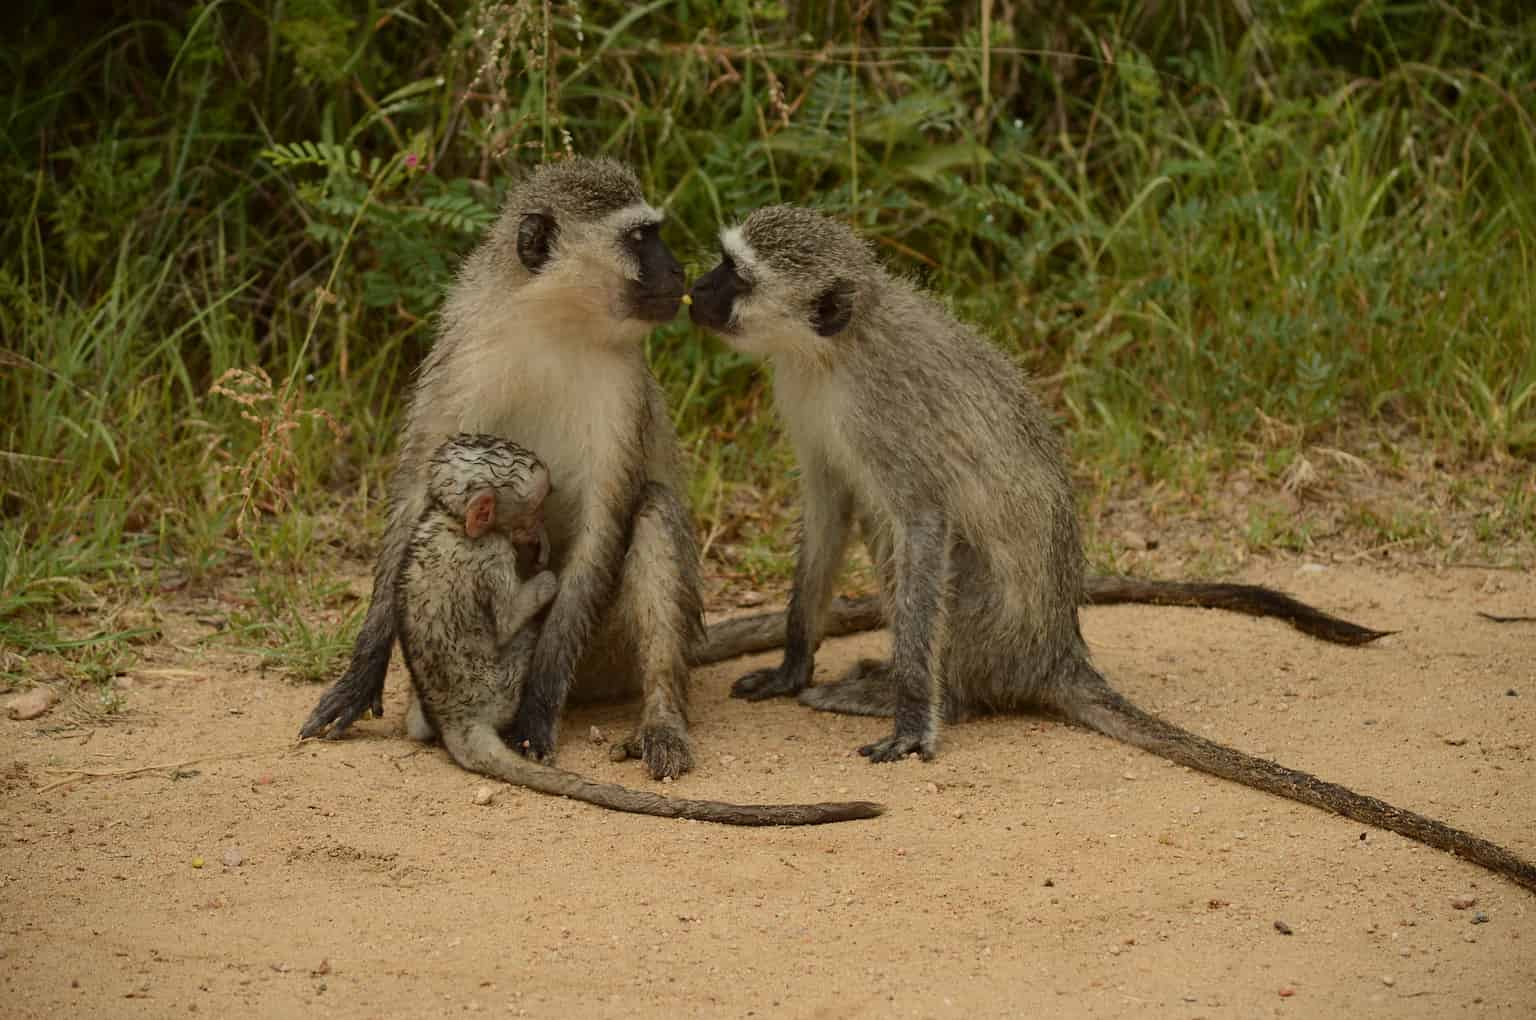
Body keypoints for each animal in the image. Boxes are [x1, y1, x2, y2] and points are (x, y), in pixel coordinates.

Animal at [301, 157, 704, 781]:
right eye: (641, 238)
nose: (681, 268)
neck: (554, 325)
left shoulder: (624, 390)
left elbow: (602, 526)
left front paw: (536, 709)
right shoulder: (465, 354)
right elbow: (418, 487)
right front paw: (361, 671)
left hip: (608, 648)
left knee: (655, 507)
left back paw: (661, 722)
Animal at [393, 434, 881, 825]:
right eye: (531, 511)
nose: (538, 529)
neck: (451, 519)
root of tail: (458, 720)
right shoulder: (492, 554)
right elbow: (509, 617)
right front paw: (548, 577)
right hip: (506, 683)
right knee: (527, 636)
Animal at [686, 205, 1535, 892]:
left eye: (736, 273)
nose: (695, 291)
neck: (831, 354)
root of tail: (1053, 650)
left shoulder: (887, 414)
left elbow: (924, 523)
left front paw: (913, 718)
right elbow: (828, 509)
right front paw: (793, 661)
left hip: (987, 626)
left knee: (920, 563)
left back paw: (921, 691)